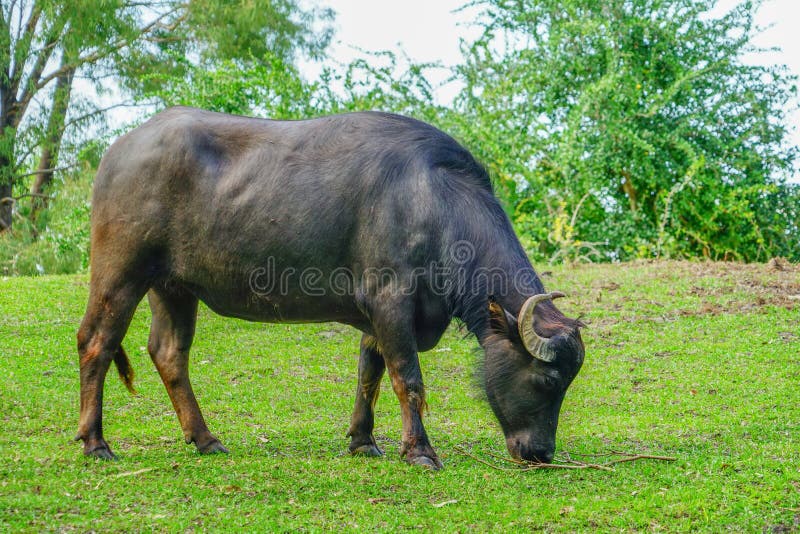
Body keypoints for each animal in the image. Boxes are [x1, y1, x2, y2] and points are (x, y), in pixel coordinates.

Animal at [76, 107, 585, 468]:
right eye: (549, 379)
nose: (541, 453)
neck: (434, 204)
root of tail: (117, 150)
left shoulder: (376, 317)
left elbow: (369, 375)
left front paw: (364, 440)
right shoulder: (391, 302)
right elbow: (408, 379)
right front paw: (420, 451)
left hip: (174, 287)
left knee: (168, 353)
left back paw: (205, 439)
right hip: (120, 271)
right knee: (96, 342)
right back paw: (95, 442)